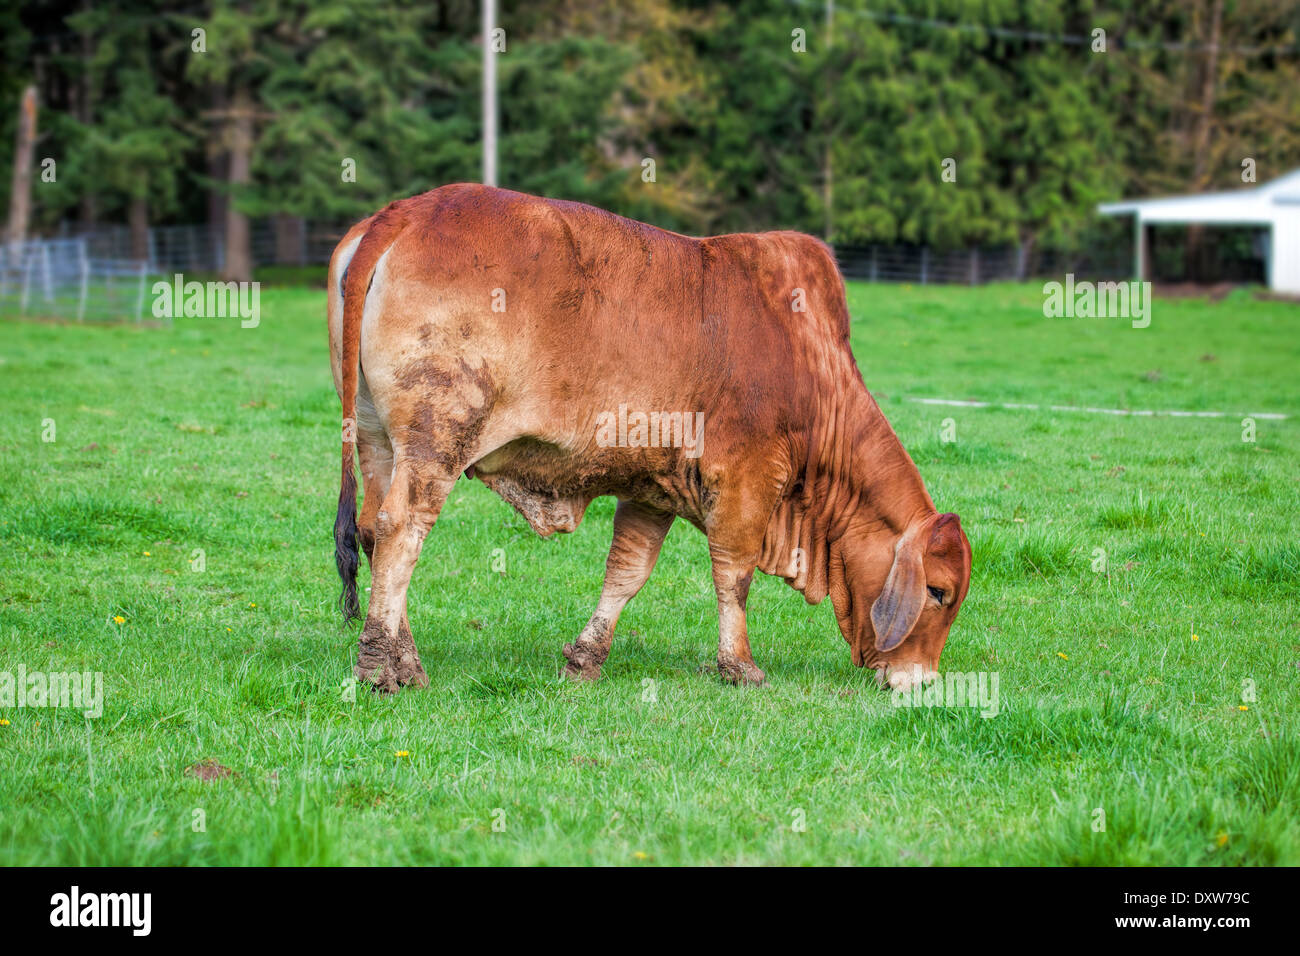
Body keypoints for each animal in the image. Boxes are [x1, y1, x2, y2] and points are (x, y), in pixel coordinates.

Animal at [328, 184, 971, 693]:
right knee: (401, 529)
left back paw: (405, 660)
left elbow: (627, 572)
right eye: (939, 592)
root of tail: (407, 211)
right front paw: (740, 666)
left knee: (371, 529)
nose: (921, 682)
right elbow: (734, 575)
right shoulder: (748, 479)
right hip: (438, 434)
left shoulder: (653, 488)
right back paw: (379, 667)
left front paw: (585, 659)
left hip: (378, 438)